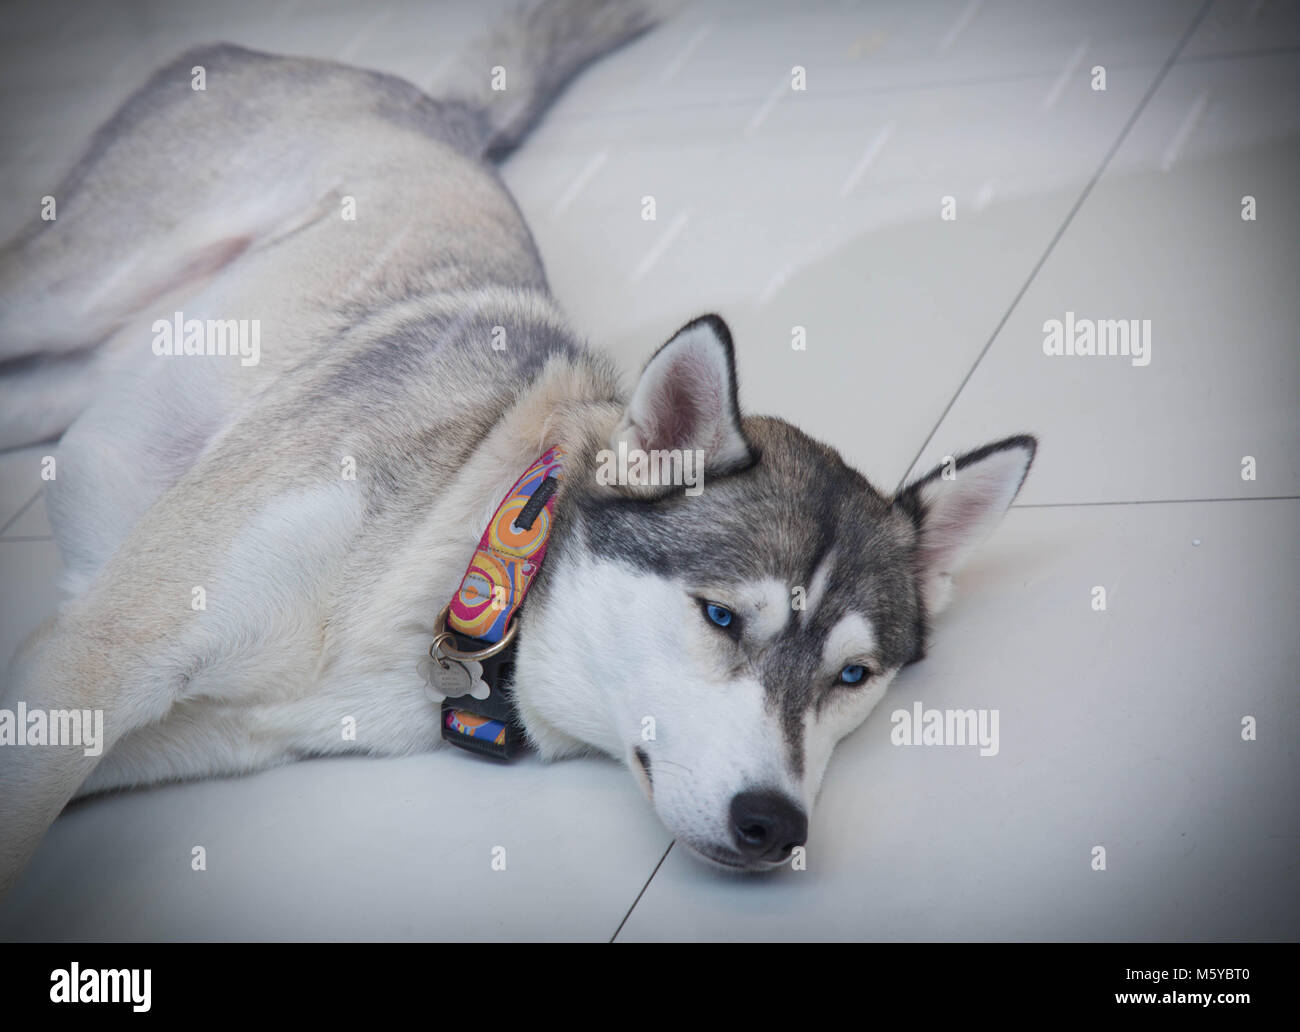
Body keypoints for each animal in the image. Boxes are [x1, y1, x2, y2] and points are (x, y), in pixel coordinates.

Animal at [0, 0, 1035, 888]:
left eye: (853, 676)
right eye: (721, 618)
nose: (775, 824)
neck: (469, 548)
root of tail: (441, 112)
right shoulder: (97, 654)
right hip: (58, 291)